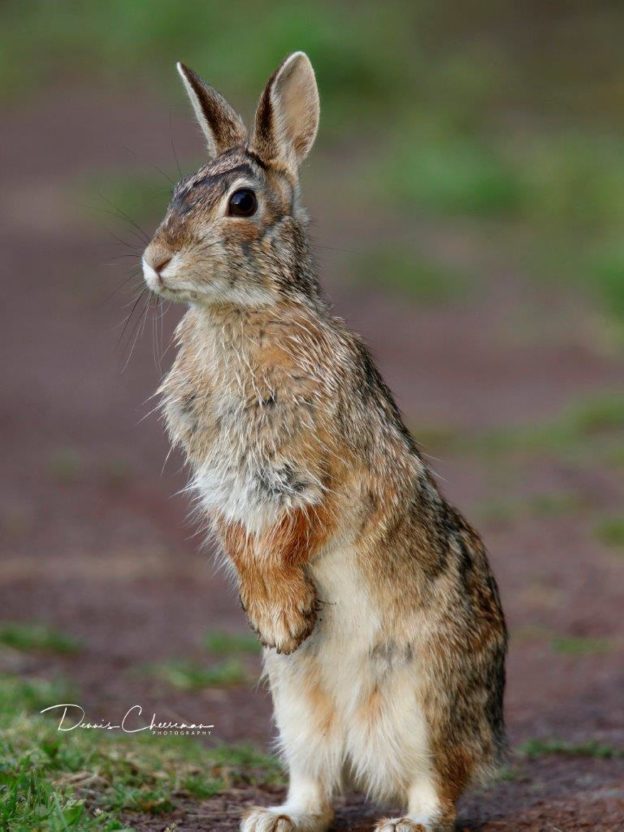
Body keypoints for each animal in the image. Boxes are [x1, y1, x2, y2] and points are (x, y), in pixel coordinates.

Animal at [142, 52, 507, 832]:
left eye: (241, 204)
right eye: (178, 192)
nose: (156, 261)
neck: (243, 315)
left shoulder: (327, 468)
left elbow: (303, 527)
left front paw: (287, 615)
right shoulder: (223, 481)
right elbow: (243, 542)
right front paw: (276, 619)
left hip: (425, 697)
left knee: (440, 785)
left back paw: (407, 821)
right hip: (294, 710)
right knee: (318, 784)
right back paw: (274, 817)